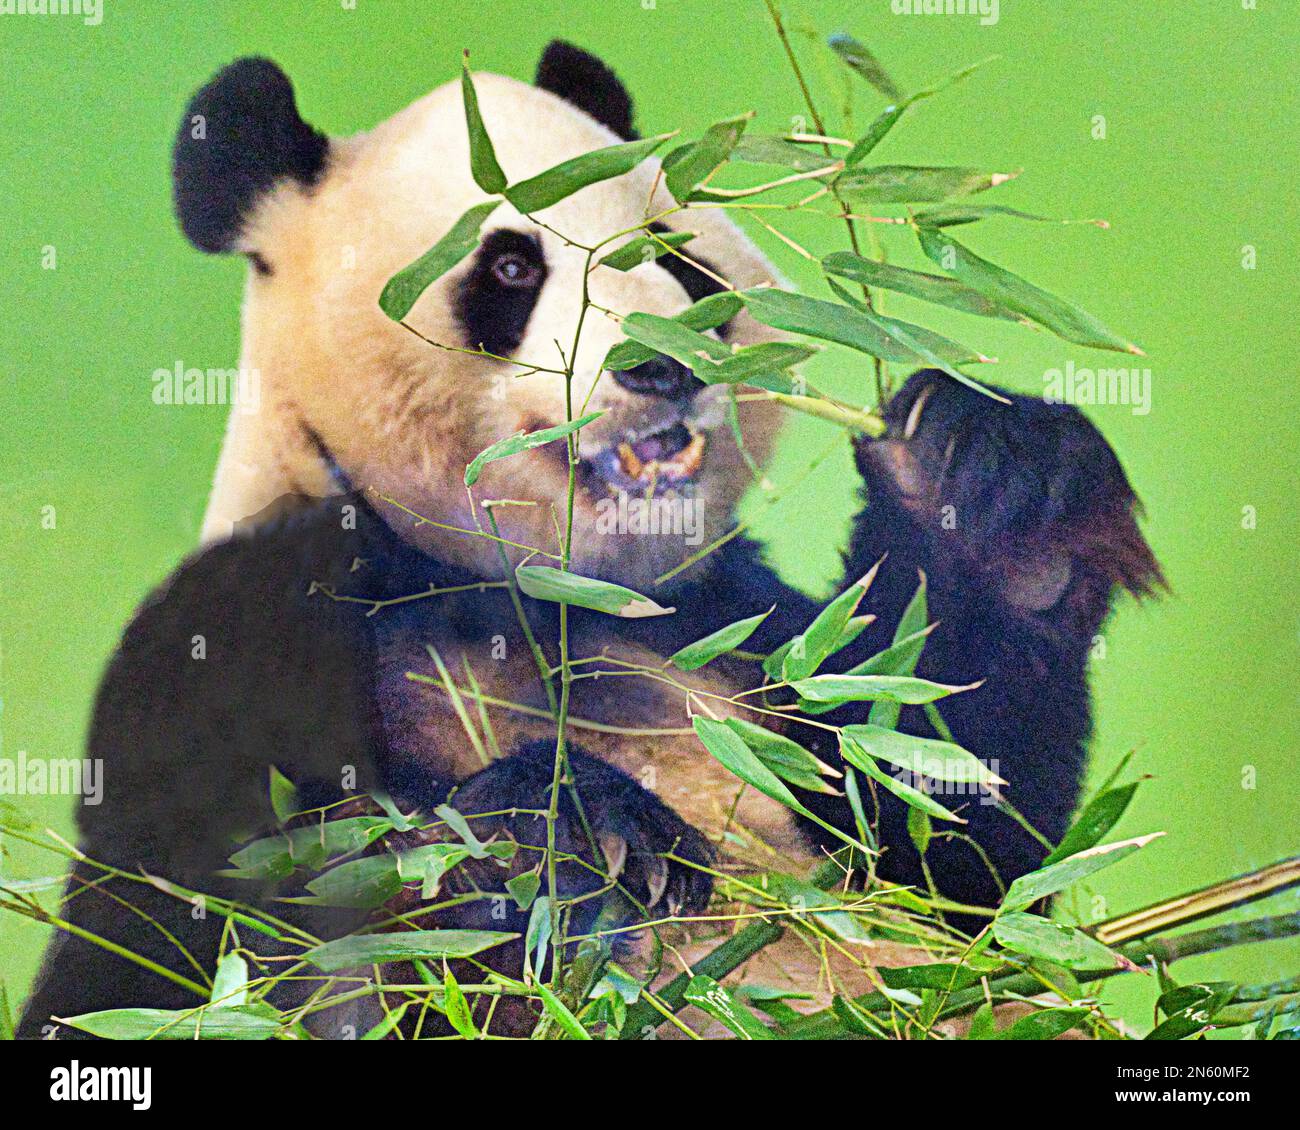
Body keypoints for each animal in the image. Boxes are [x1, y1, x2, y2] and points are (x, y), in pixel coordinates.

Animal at [18, 41, 1162, 1037]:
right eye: (509, 268)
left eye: (675, 258)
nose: (665, 365)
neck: (542, 590)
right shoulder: (246, 610)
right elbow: (203, 929)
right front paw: (574, 825)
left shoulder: (736, 630)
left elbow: (959, 843)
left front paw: (989, 480)